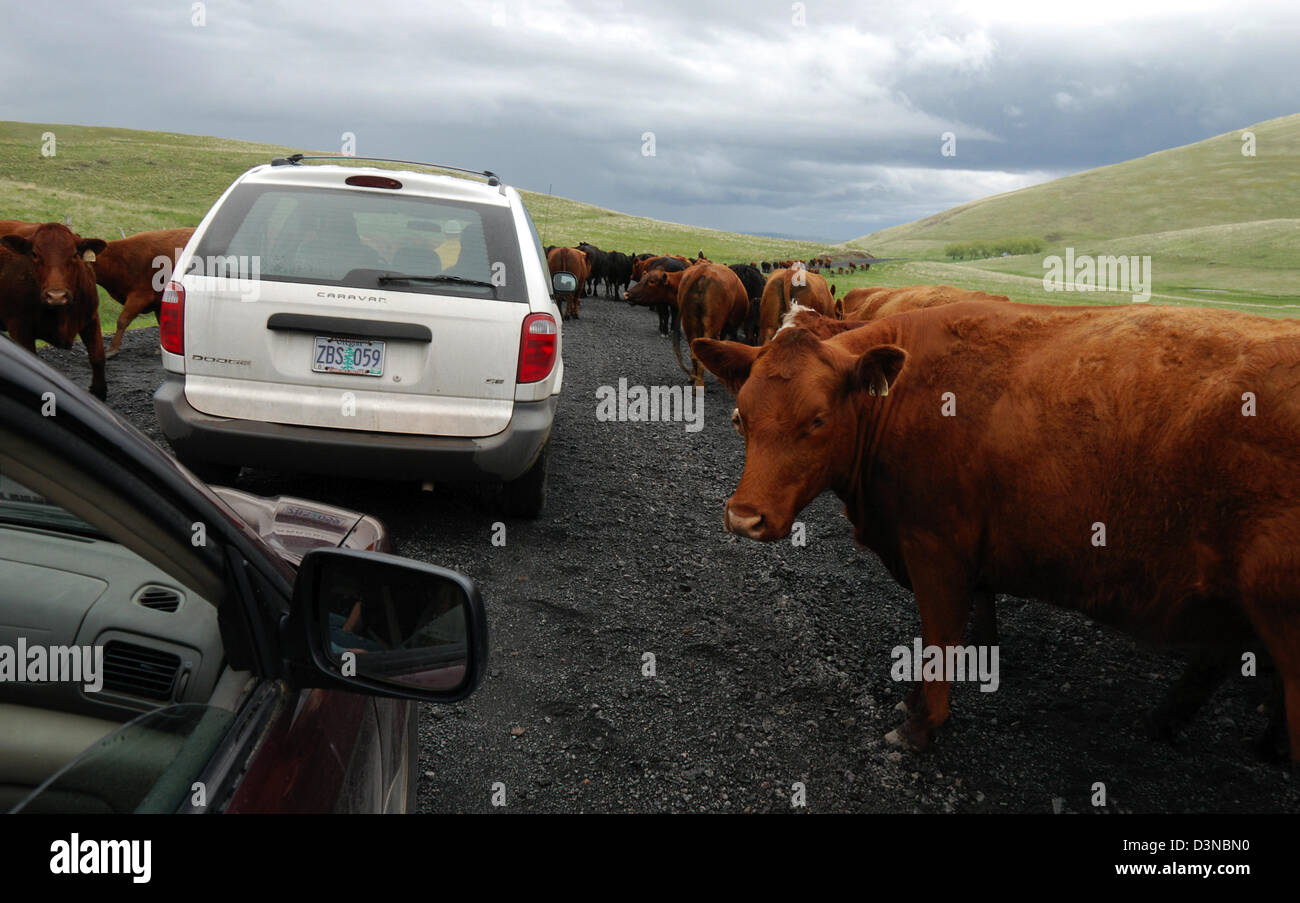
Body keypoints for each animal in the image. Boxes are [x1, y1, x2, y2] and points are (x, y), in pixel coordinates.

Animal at [1, 222, 109, 398]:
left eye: (74, 254)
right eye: (34, 254)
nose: (56, 296)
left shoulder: (91, 317)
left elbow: (98, 357)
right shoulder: (19, 327)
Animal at [693, 300, 1300, 762]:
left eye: (817, 419)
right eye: (741, 416)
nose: (744, 516)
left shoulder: (935, 550)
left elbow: (939, 638)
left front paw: (921, 724)